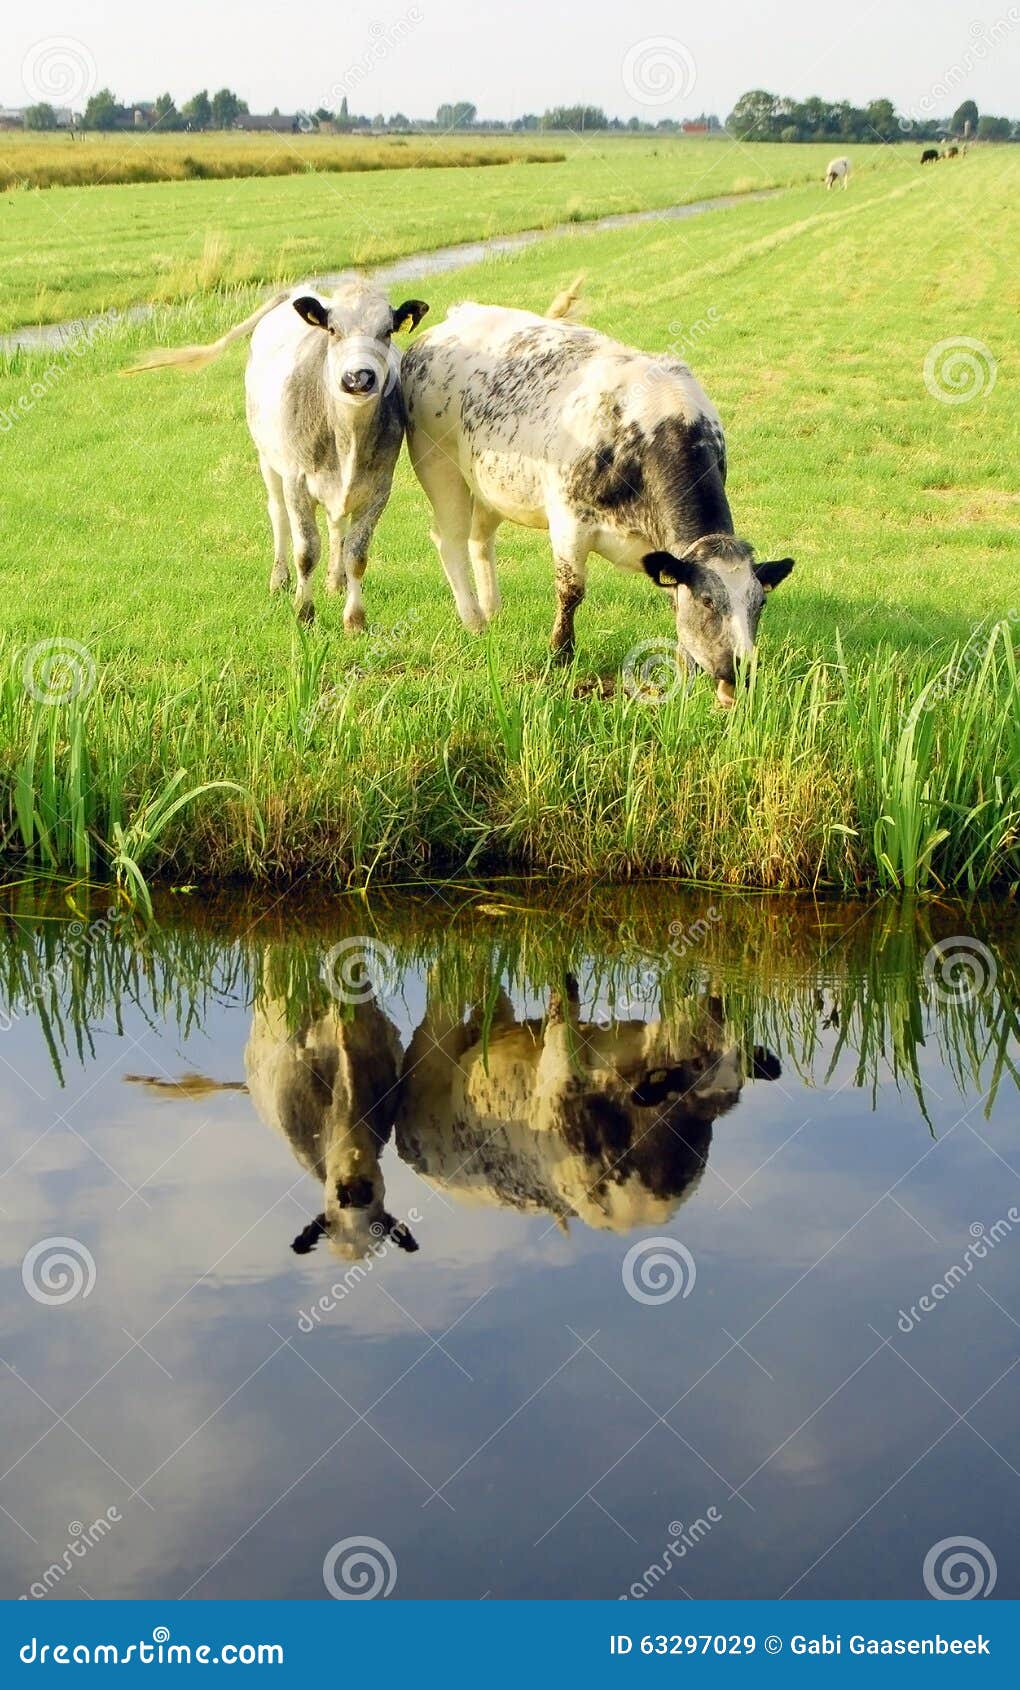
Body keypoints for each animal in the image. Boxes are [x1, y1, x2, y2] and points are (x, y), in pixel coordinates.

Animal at [128, 279, 429, 629]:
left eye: (387, 331)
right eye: (333, 330)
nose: (358, 378)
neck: (347, 436)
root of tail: (300, 290)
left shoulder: (379, 488)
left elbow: (356, 554)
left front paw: (354, 620)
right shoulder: (297, 483)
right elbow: (306, 551)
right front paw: (304, 612)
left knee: (336, 526)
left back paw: (335, 581)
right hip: (268, 461)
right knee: (278, 514)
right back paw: (279, 580)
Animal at [401, 297, 794, 704]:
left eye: (760, 603)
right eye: (707, 601)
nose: (741, 669)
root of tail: (458, 315)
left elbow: (673, 598)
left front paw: (685, 669)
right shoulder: (568, 521)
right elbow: (570, 591)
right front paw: (560, 654)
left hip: (491, 483)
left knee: (480, 539)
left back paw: (492, 610)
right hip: (437, 463)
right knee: (450, 540)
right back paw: (474, 620)